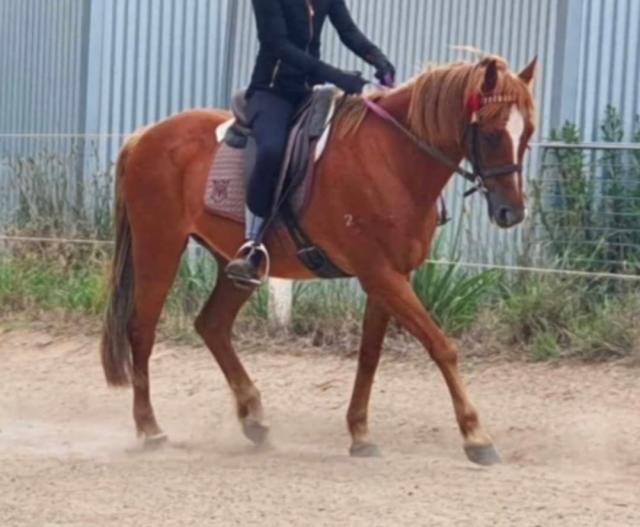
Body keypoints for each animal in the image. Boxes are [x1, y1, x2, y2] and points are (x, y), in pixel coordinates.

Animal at [100, 54, 537, 465]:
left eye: (528, 132)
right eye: (491, 132)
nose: (511, 213)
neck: (393, 160)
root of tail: (144, 136)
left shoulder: (391, 277)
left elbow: (369, 356)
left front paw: (360, 434)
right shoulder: (379, 274)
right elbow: (442, 346)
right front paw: (476, 437)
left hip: (236, 265)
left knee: (212, 325)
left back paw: (254, 419)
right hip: (158, 247)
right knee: (141, 331)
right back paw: (151, 429)